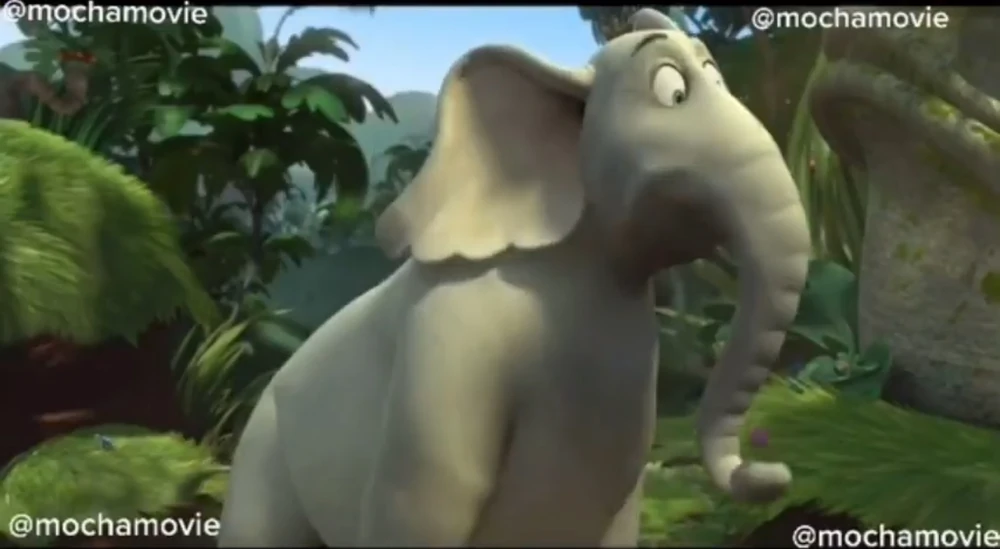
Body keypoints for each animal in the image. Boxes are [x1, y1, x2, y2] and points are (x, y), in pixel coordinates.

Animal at [219, 8, 811, 547]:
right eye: (672, 90)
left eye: (720, 79)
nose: (771, 471)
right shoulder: (446, 337)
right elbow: (432, 500)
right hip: (263, 456)